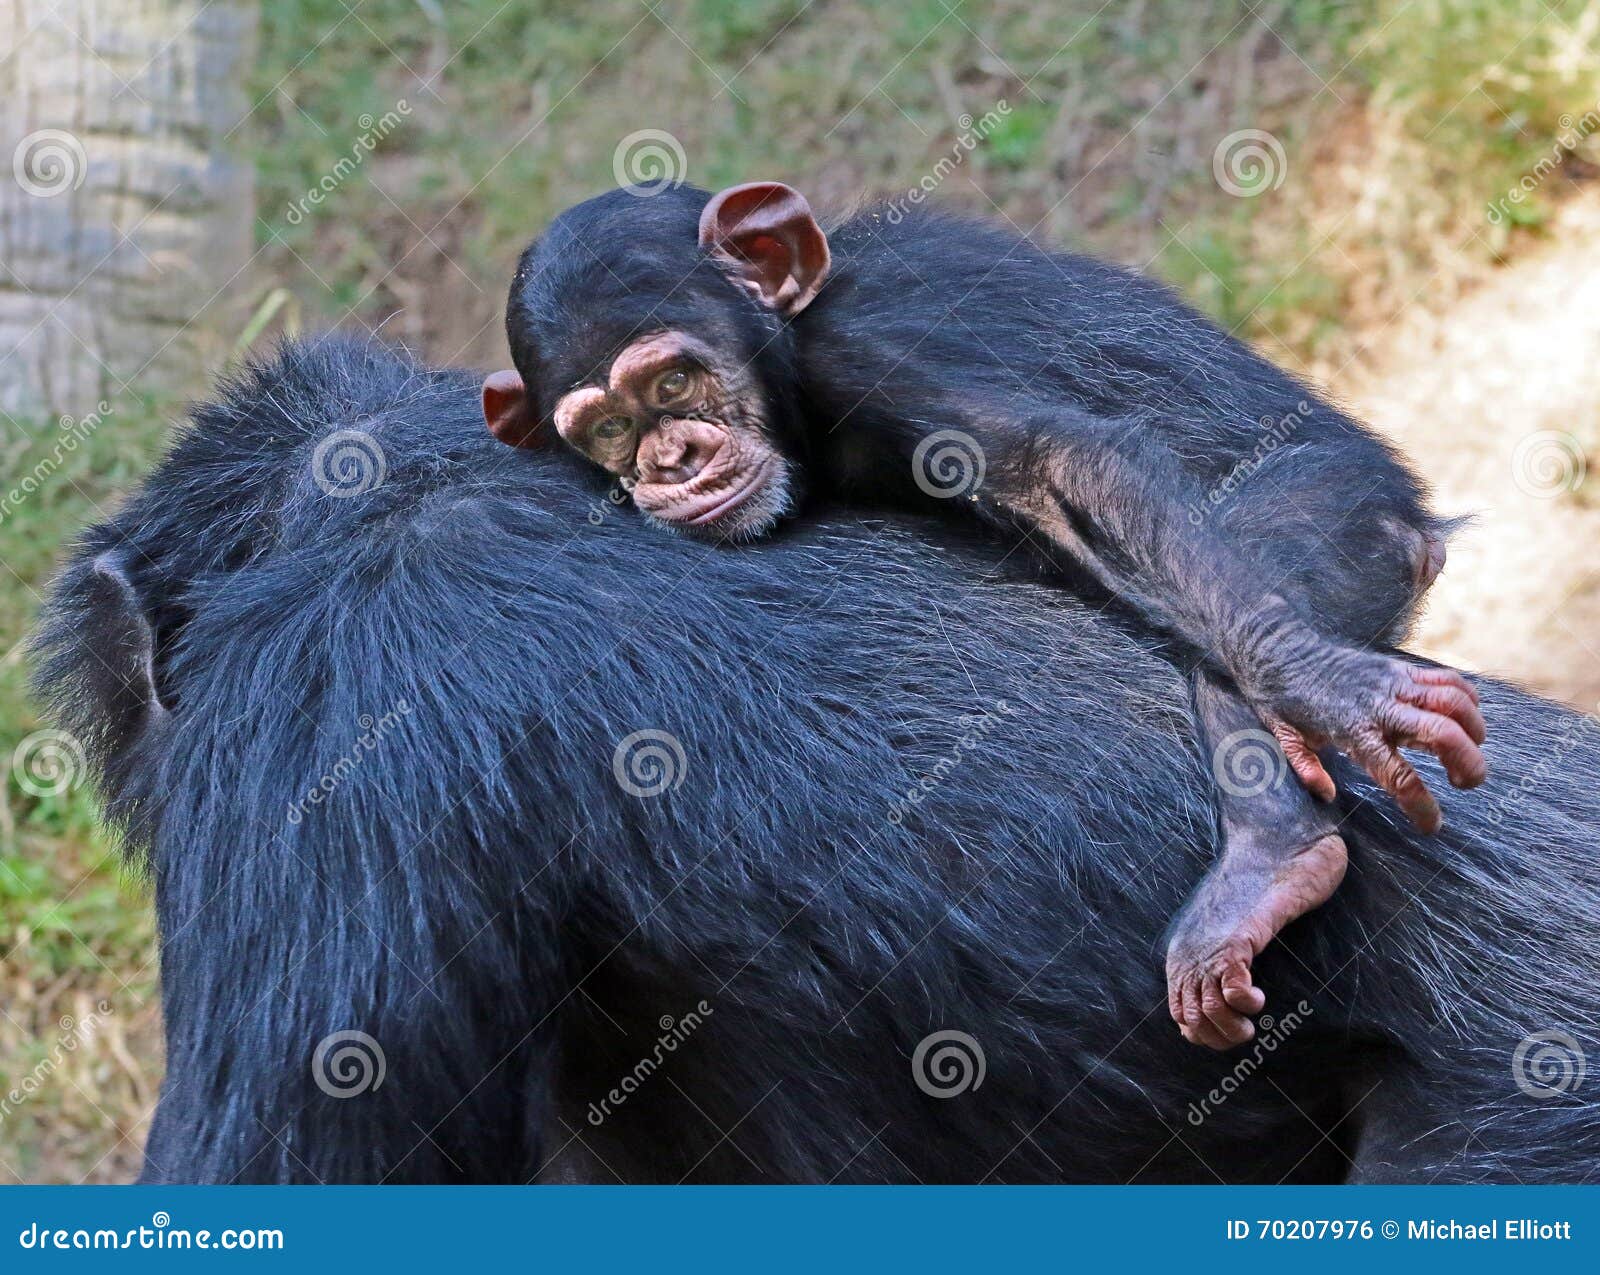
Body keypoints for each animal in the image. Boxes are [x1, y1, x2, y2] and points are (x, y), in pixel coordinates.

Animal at [479, 182, 1488, 1050]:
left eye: (674, 384)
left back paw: (1273, 856)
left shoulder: (869, 352)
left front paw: (1332, 688)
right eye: (609, 431)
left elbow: (1058, 466)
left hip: (1358, 519)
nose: (672, 459)